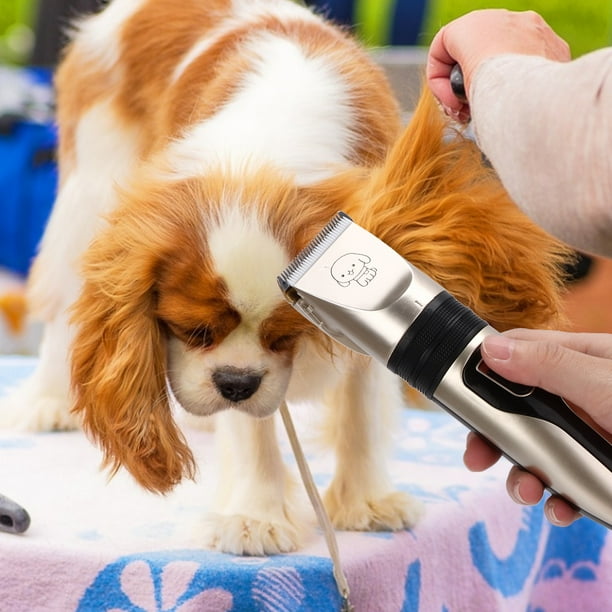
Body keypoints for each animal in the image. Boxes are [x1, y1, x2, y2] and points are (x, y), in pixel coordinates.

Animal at [2, 0, 572, 556]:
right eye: (192, 331)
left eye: (288, 334)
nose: (234, 385)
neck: (262, 161)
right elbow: (253, 429)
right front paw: (254, 517)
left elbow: (361, 408)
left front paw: (366, 502)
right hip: (91, 188)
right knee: (65, 303)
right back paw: (49, 400)